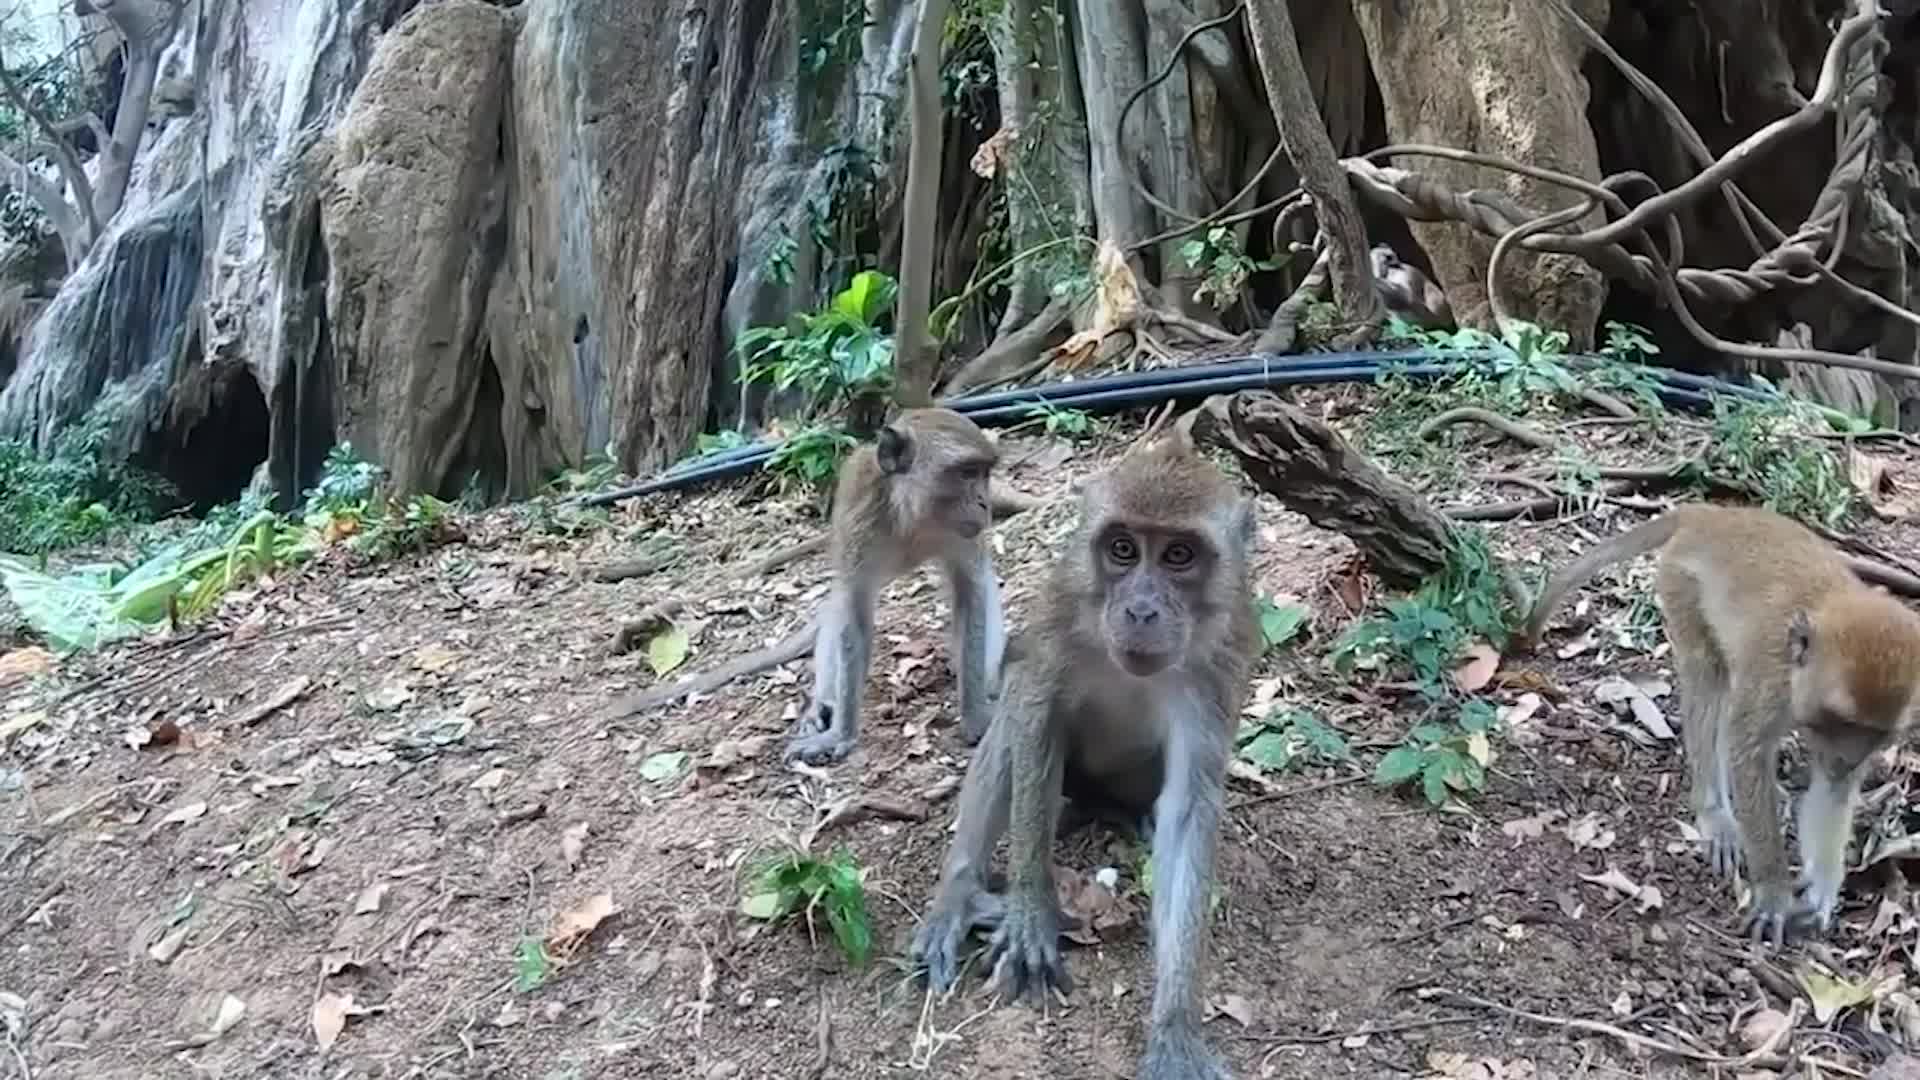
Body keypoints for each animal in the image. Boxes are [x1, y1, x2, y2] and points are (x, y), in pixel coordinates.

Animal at [785, 407, 1006, 766]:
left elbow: (971, 593)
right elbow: (854, 615)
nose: (984, 503)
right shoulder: (858, 529)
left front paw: (974, 715)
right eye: (966, 473)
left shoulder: (962, 537)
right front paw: (840, 735)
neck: (912, 519)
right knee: (837, 606)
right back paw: (823, 704)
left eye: (985, 474)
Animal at [910, 420, 1257, 1080]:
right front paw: (1029, 911)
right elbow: (1033, 712)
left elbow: (1187, 814)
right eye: (1122, 549)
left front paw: (1176, 1024)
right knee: (1012, 726)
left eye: (1178, 556)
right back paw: (958, 895)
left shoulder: (1216, 672)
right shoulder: (1062, 610)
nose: (1141, 609)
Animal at [1518, 504, 1920, 943]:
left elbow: (1832, 789)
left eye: (1875, 733)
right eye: (1840, 720)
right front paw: (1773, 891)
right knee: (1707, 680)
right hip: (1681, 584)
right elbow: (1748, 753)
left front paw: (1821, 892)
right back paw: (1714, 812)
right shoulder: (1768, 677)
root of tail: (1710, 512)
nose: (1848, 758)